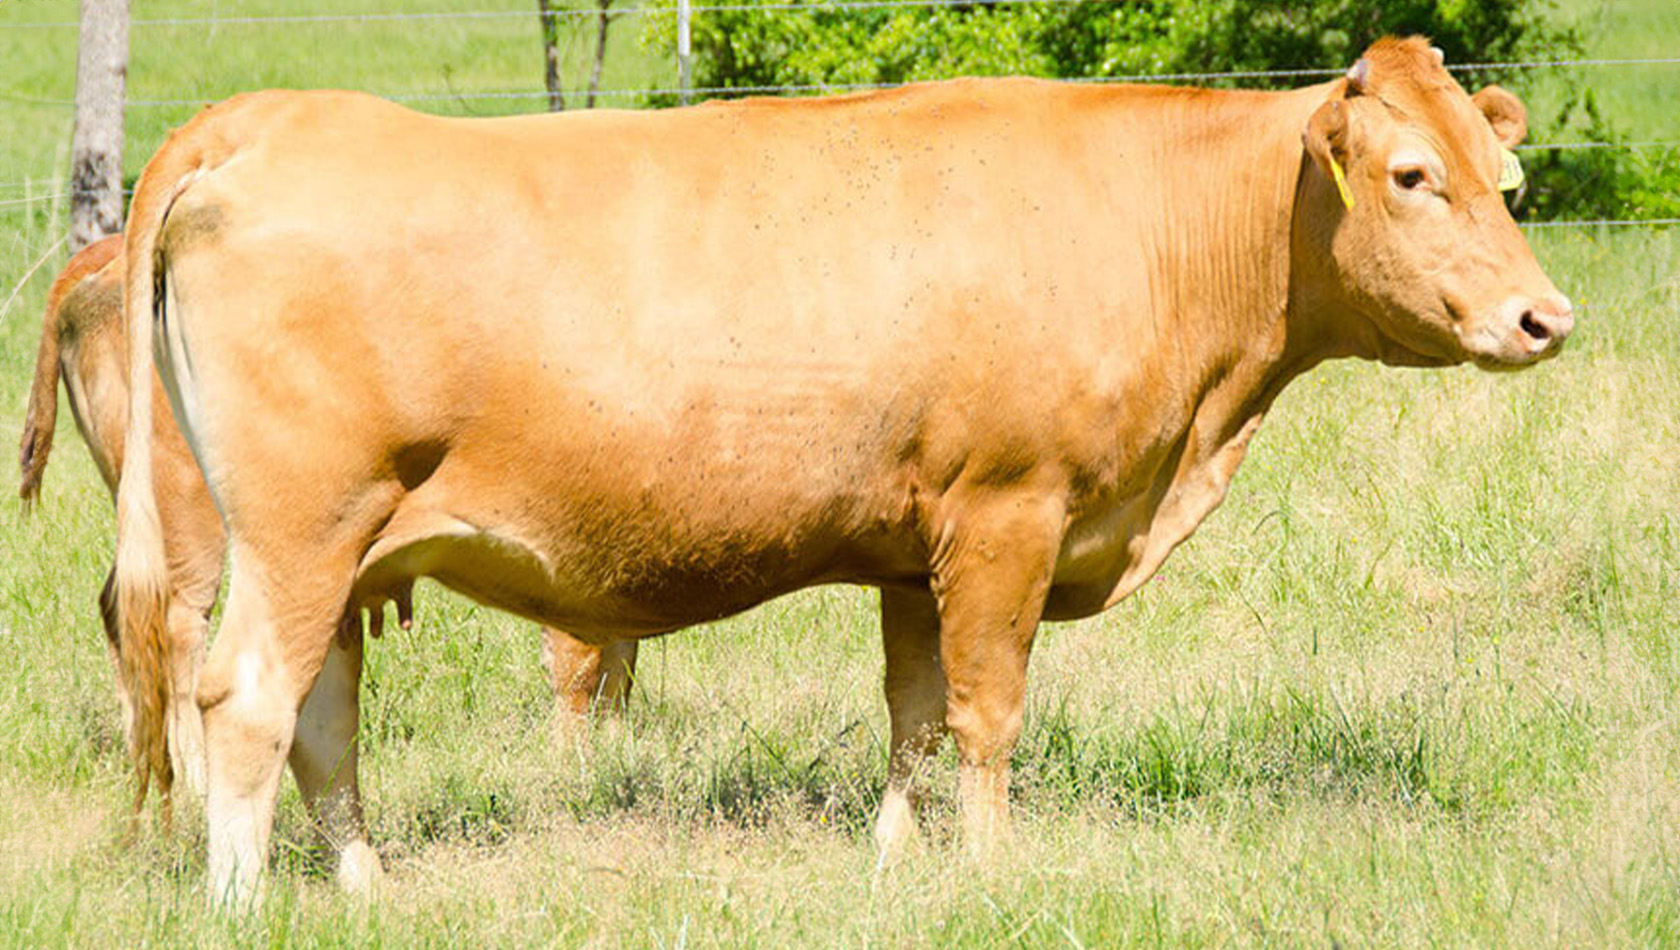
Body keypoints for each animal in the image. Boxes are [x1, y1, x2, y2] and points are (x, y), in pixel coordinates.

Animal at [19, 236, 639, 804]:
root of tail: (99, 258)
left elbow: (619, 662)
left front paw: (620, 750)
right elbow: (582, 664)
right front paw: (580, 767)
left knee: (121, 607)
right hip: (190, 509)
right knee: (176, 623)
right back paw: (195, 777)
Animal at [111, 37, 1571, 904]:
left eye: (1505, 174)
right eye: (1412, 174)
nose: (1545, 317)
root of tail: (258, 124)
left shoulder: (917, 549)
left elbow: (916, 715)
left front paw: (897, 857)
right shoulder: (1010, 513)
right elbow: (989, 713)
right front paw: (992, 872)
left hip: (331, 549)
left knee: (320, 714)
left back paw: (367, 887)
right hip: (297, 531)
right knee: (243, 703)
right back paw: (243, 904)